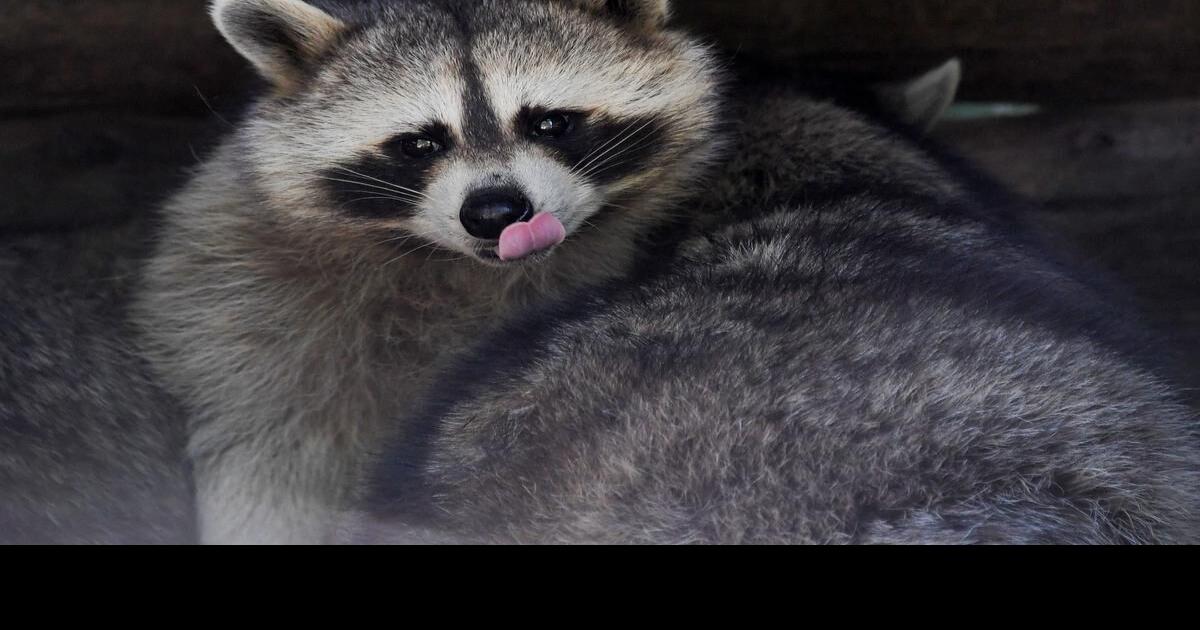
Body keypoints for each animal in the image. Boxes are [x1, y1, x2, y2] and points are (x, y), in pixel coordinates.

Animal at [136, 0, 723, 543]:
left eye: (550, 122)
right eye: (420, 143)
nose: (494, 213)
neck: (458, 267)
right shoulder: (252, 300)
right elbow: (272, 451)